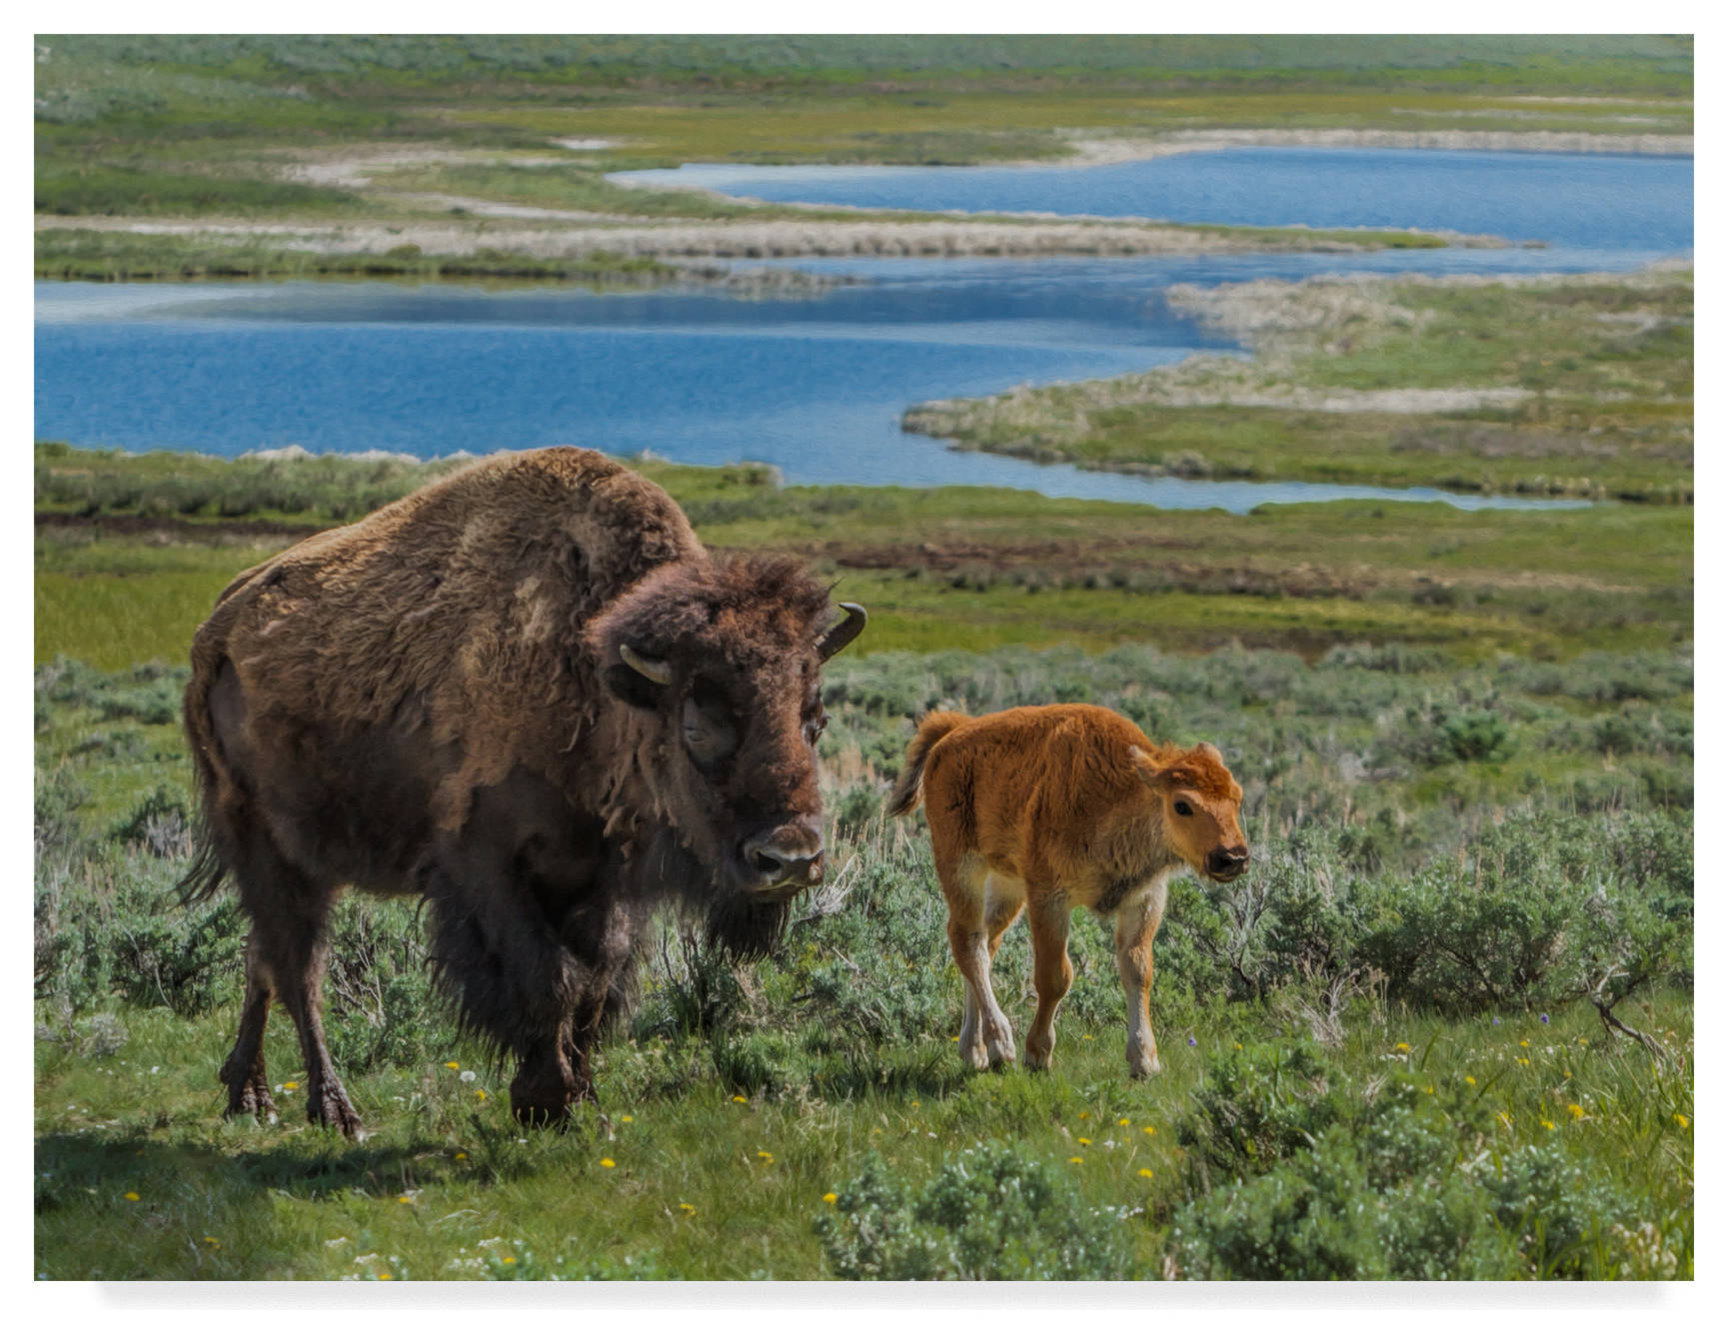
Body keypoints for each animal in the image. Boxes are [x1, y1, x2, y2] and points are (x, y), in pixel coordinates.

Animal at [180, 446, 866, 1136]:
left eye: (815, 716)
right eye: (696, 726)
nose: (791, 858)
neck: (594, 671)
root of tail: (218, 629)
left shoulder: (599, 878)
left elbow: (596, 982)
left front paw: (582, 1100)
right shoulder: (486, 866)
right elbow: (550, 980)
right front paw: (546, 1099)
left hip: (307, 858)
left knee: (264, 956)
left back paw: (249, 1094)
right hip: (264, 840)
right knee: (298, 967)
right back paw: (335, 1110)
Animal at [885, 704, 1247, 1078]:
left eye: (1237, 798)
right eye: (1182, 805)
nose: (1233, 857)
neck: (1120, 792)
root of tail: (953, 734)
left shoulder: (1144, 899)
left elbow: (1138, 971)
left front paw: (1145, 1060)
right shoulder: (1049, 898)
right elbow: (1055, 976)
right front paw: (1036, 1054)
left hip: (1007, 886)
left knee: (986, 944)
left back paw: (975, 1050)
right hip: (961, 865)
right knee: (968, 942)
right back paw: (1001, 1044)